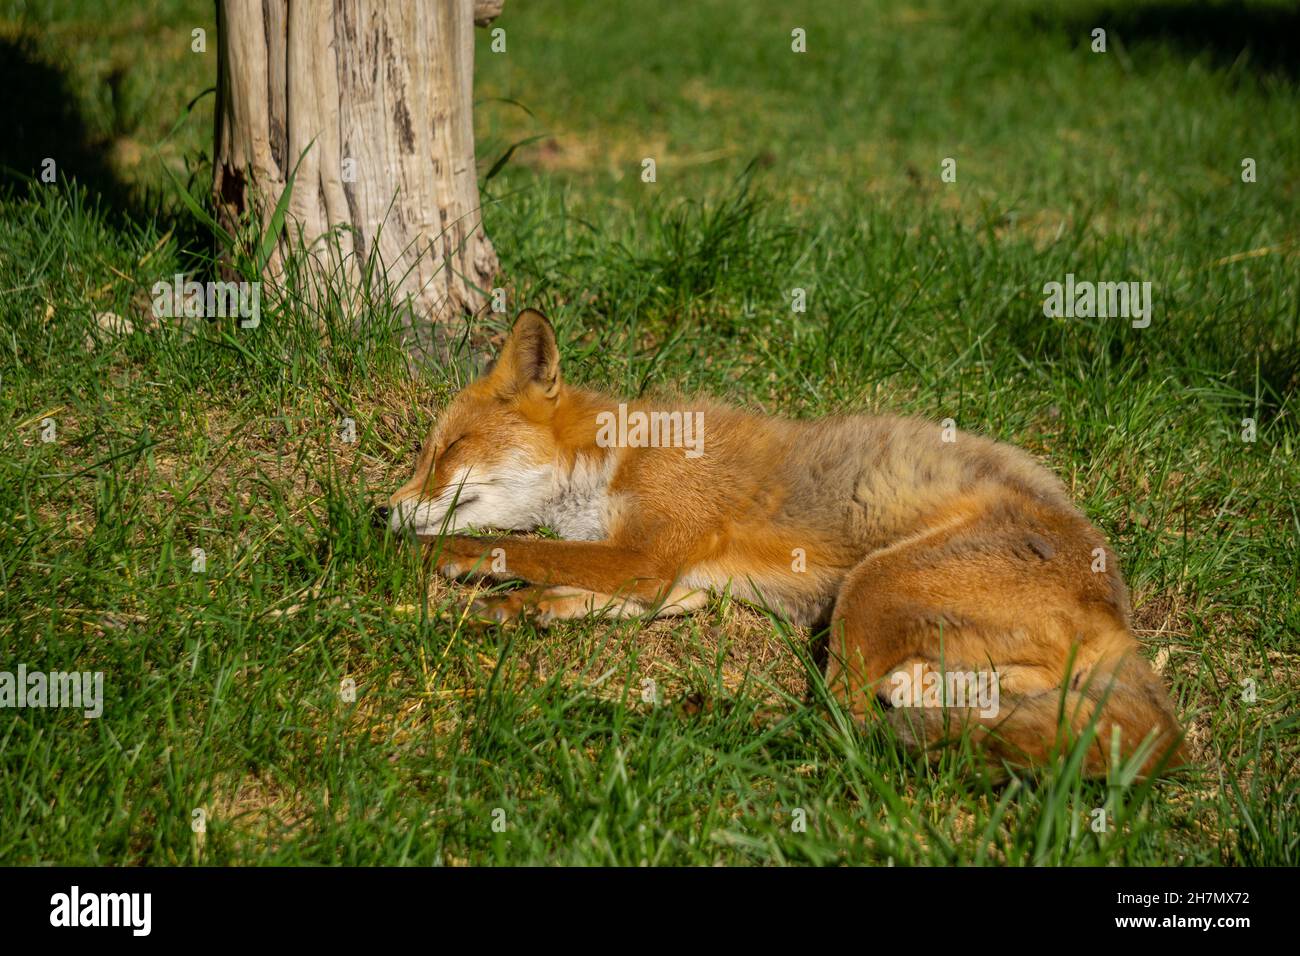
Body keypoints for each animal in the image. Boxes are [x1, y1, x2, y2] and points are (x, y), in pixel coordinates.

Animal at [384, 309, 1185, 776]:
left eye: (446, 450)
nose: (381, 513)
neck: (618, 452)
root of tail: (1114, 600)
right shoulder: (677, 581)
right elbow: (591, 590)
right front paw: (525, 609)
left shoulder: (648, 552)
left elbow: (517, 547)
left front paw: (439, 560)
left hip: (872, 587)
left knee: (845, 726)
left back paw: (706, 720)